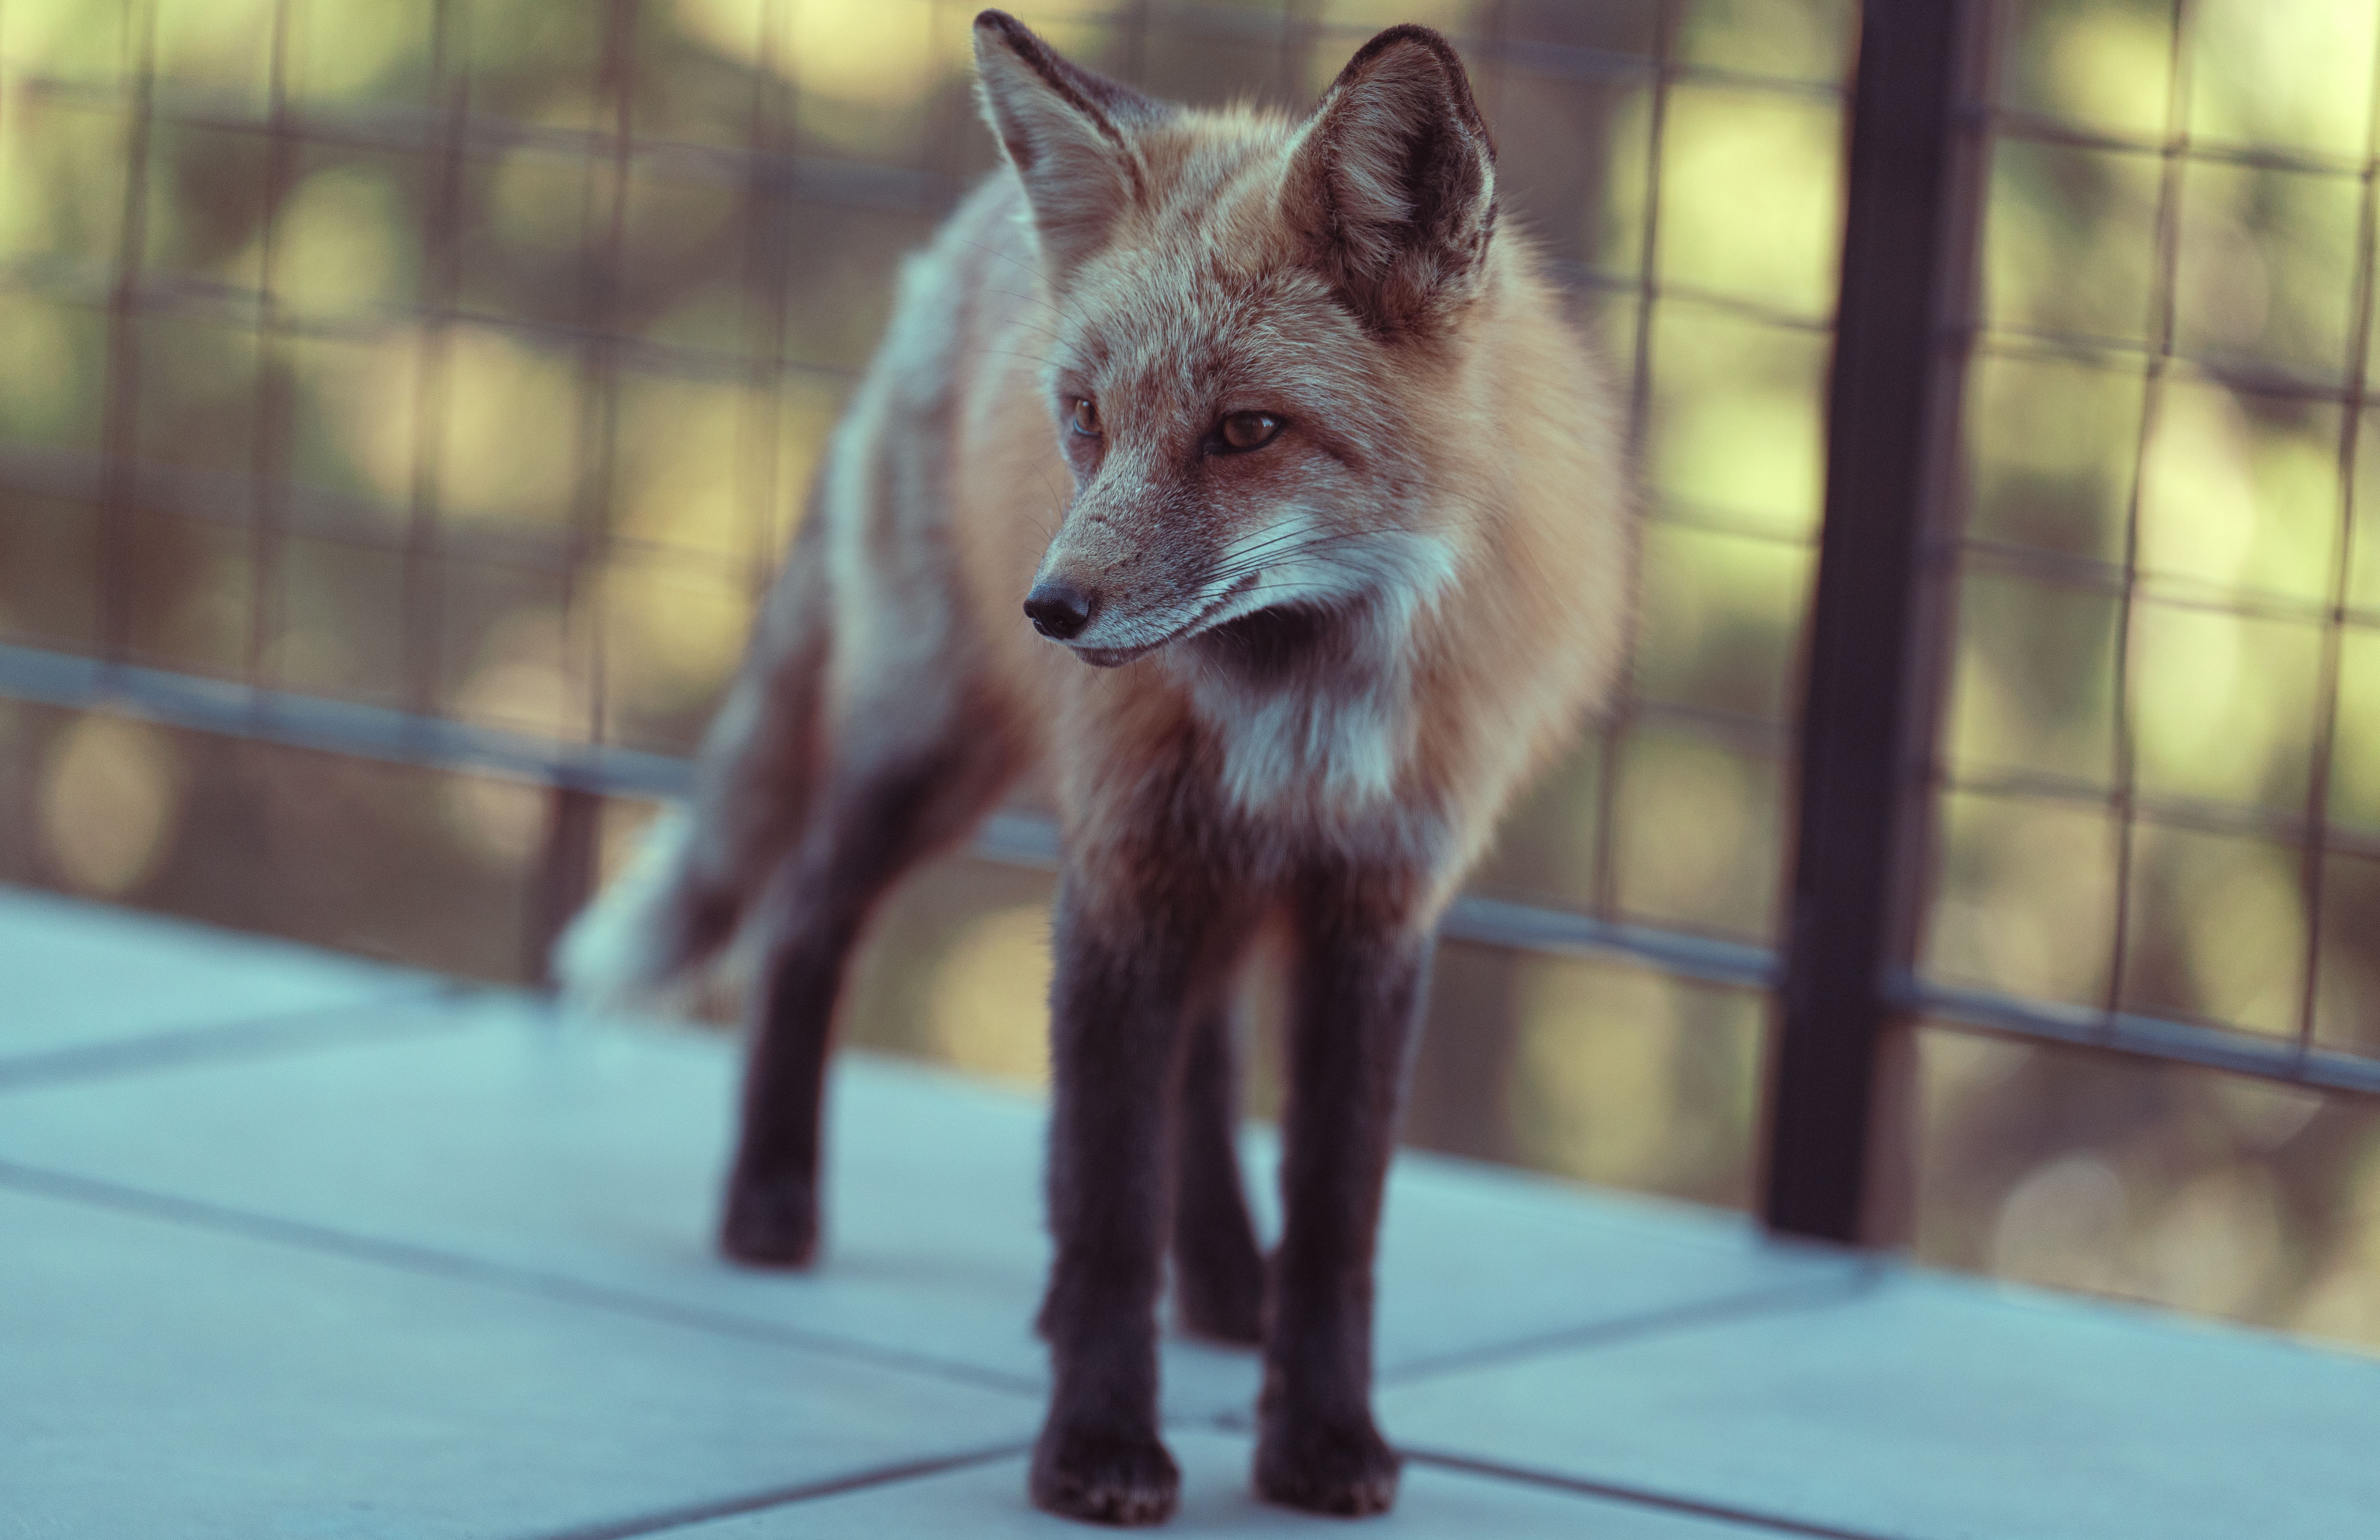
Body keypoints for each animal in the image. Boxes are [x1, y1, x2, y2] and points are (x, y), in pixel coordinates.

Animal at [557, 10, 1631, 1525]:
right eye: (1084, 417)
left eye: (1246, 429)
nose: (1050, 610)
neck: (1297, 700)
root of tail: (961, 232)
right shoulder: (1123, 872)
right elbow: (1105, 1210)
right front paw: (1101, 1447)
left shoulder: (1373, 900)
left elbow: (1337, 1222)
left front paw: (1322, 1436)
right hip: (927, 754)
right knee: (803, 917)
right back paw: (769, 1202)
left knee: (1206, 1052)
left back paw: (1230, 1284)